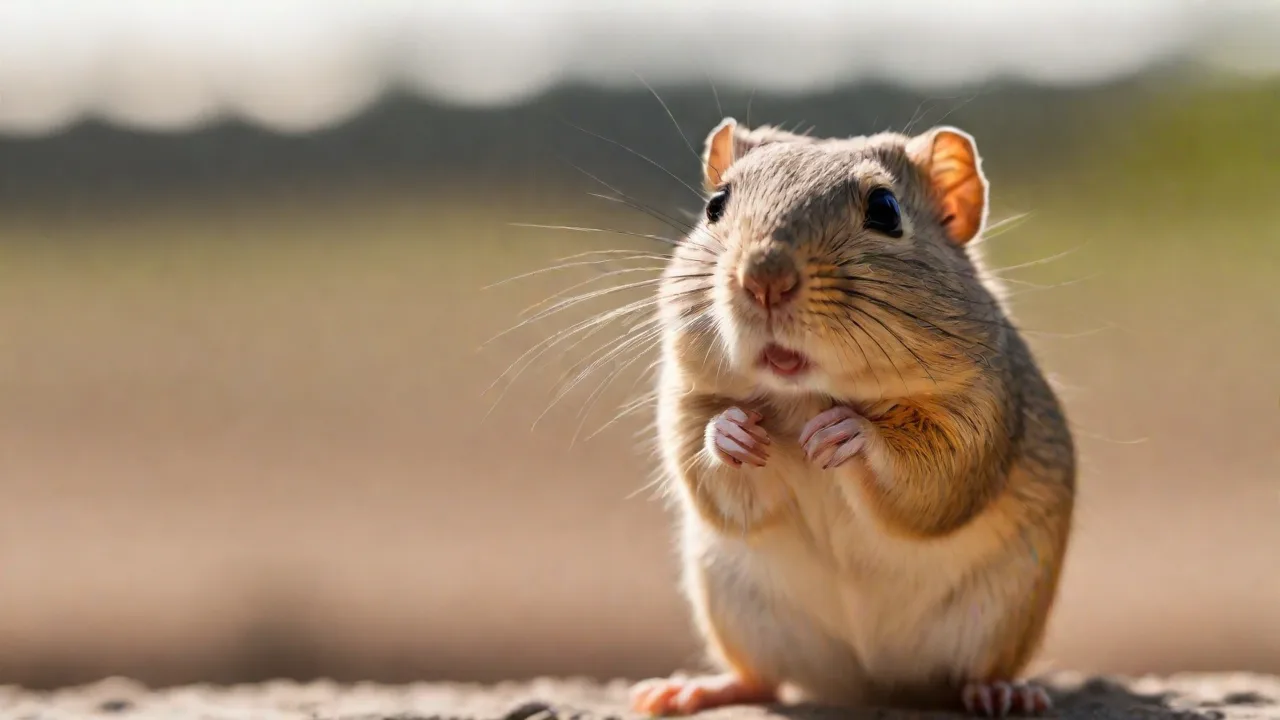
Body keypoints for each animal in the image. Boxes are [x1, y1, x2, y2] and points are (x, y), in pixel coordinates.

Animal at [628, 119, 1075, 717]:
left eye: (885, 209)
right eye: (715, 205)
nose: (763, 277)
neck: (804, 395)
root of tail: (870, 684)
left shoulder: (978, 413)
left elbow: (937, 477)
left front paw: (847, 432)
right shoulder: (684, 397)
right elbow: (708, 474)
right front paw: (729, 433)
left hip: (1004, 618)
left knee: (976, 674)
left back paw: (1004, 693)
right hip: (740, 616)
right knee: (764, 680)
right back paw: (692, 690)